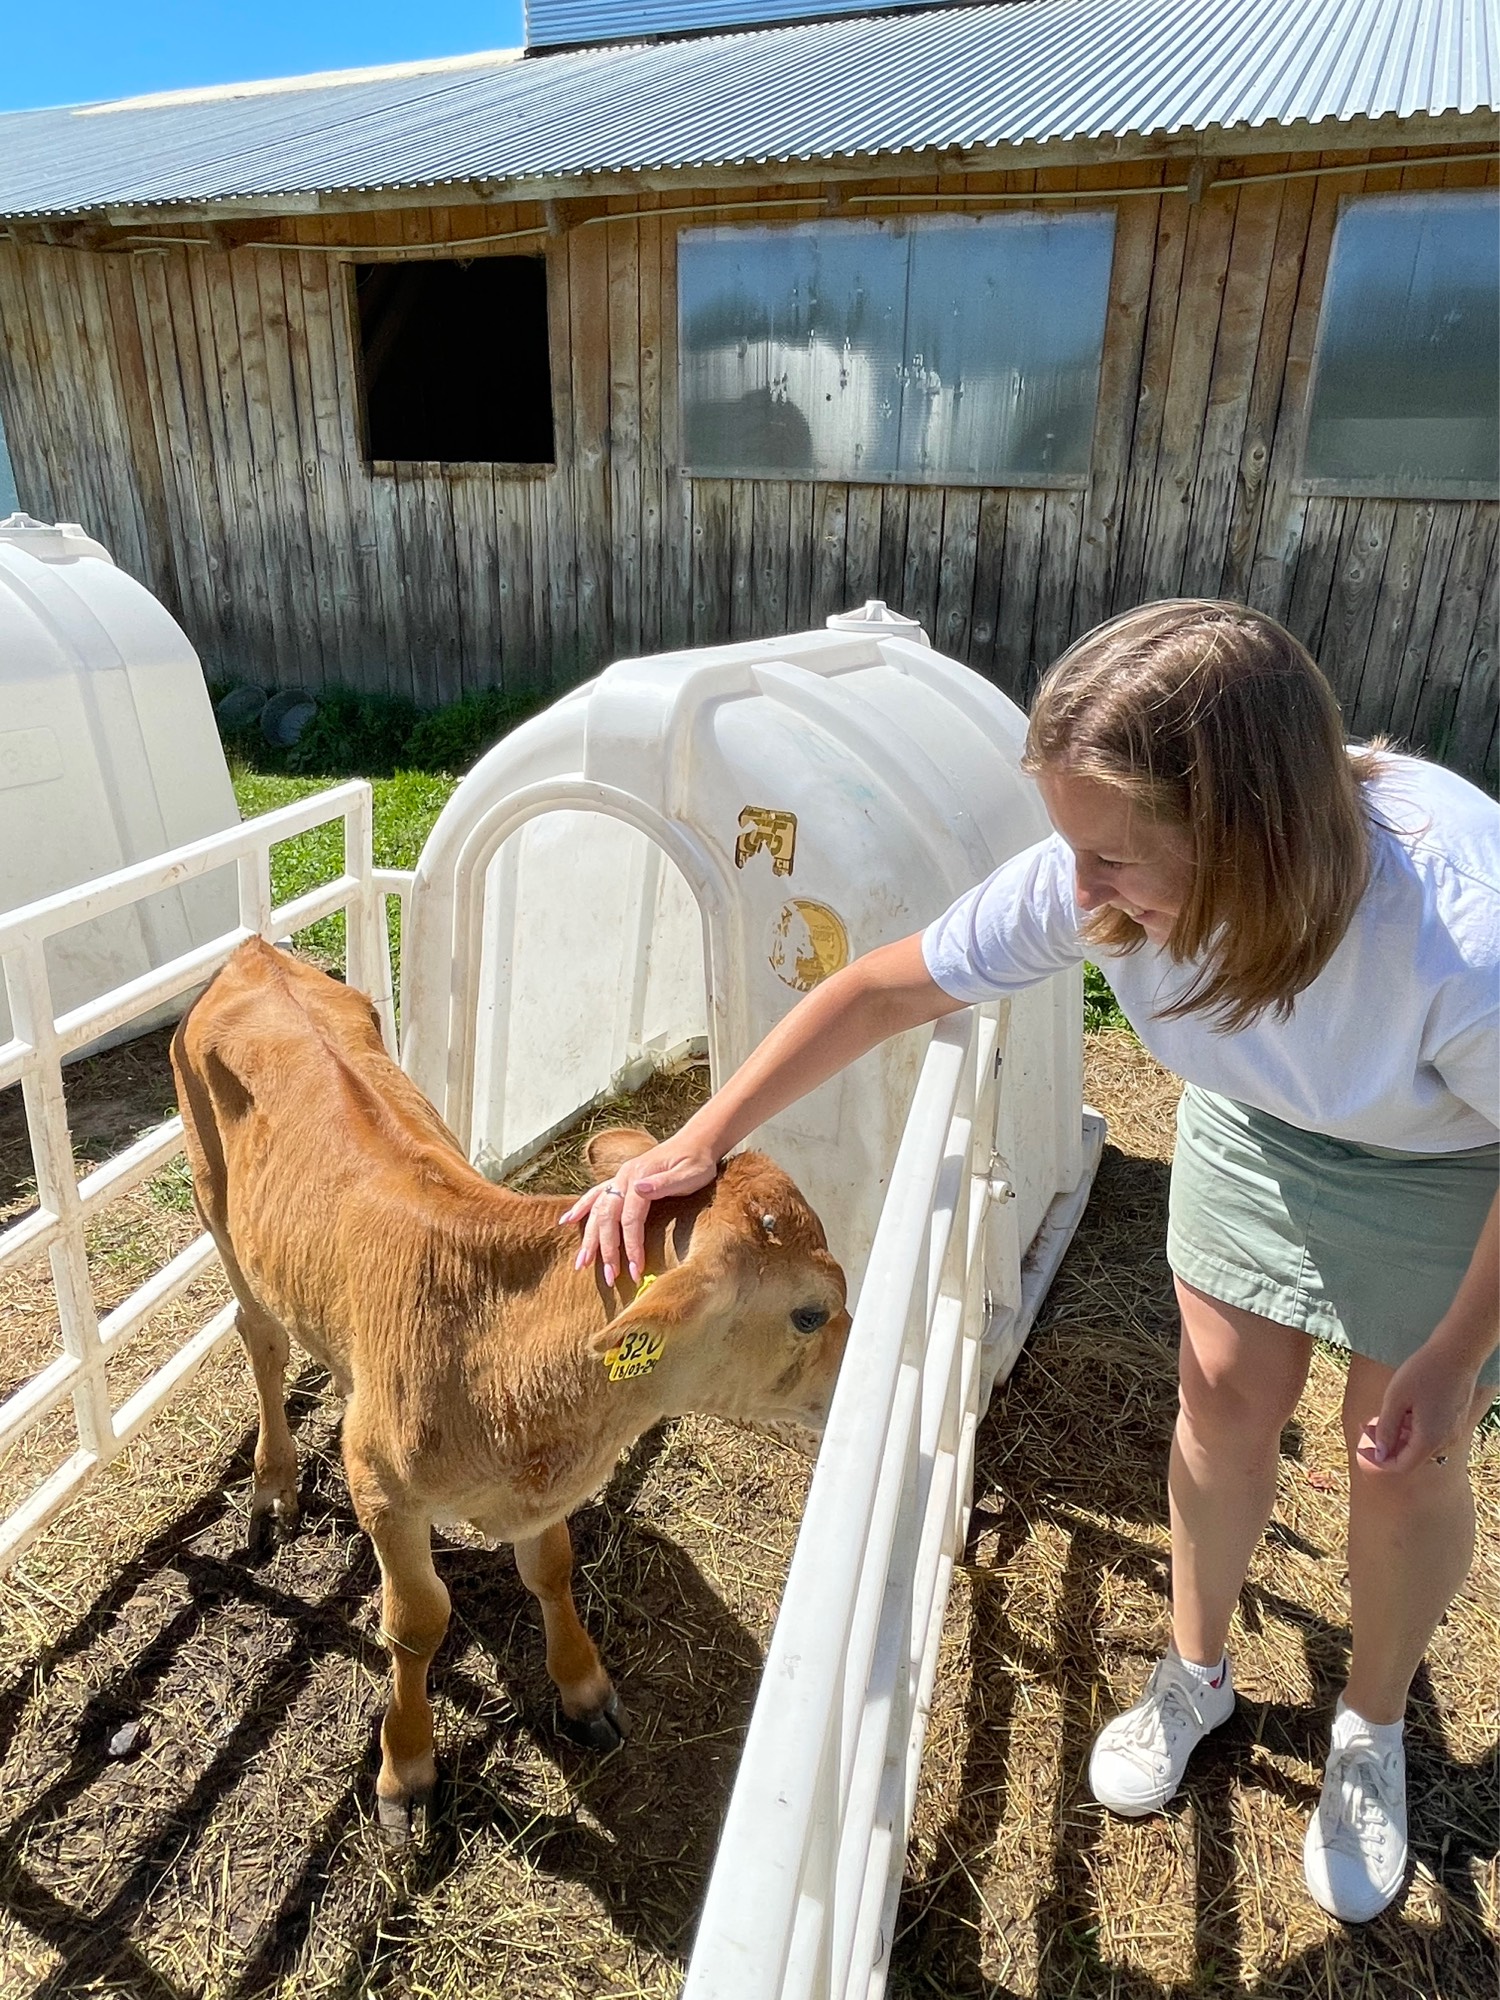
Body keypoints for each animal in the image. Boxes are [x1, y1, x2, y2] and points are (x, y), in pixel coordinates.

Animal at [170, 944, 852, 1832]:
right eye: (810, 1312)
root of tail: (255, 952)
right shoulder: (381, 1486)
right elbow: (416, 1622)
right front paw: (406, 1769)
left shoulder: (544, 1492)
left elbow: (553, 1568)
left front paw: (584, 1688)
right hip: (218, 1217)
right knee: (263, 1342)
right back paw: (274, 1483)